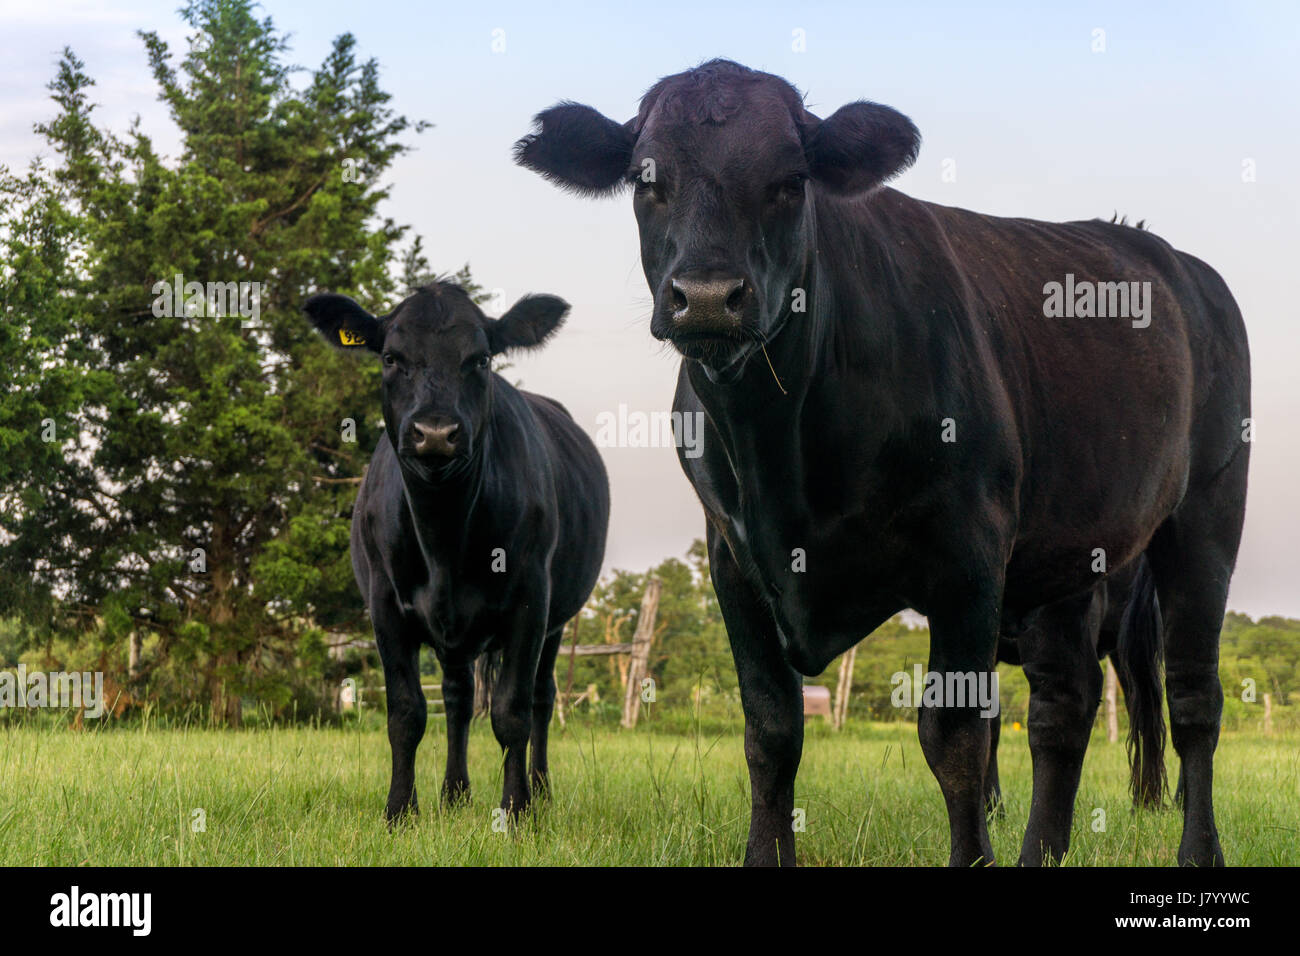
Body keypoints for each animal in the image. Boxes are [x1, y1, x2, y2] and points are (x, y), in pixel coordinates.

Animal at [303, 282, 610, 820]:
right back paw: (454, 794)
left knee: (542, 698)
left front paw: (515, 814)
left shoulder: (532, 600)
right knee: (458, 697)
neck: (443, 537)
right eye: (391, 357)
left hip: (558, 620)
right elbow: (406, 713)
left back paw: (540, 791)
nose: (435, 433)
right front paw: (400, 812)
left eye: (481, 359)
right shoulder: (384, 605)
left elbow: (512, 713)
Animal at [514, 59, 1249, 866]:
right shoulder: (732, 560)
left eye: (791, 180)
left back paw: (1199, 851)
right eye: (647, 180)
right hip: (1071, 552)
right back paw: (1041, 851)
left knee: (1192, 697)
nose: (706, 297)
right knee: (1065, 703)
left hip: (1208, 512)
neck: (783, 449)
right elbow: (770, 728)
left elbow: (957, 736)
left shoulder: (970, 557)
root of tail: (1175, 262)